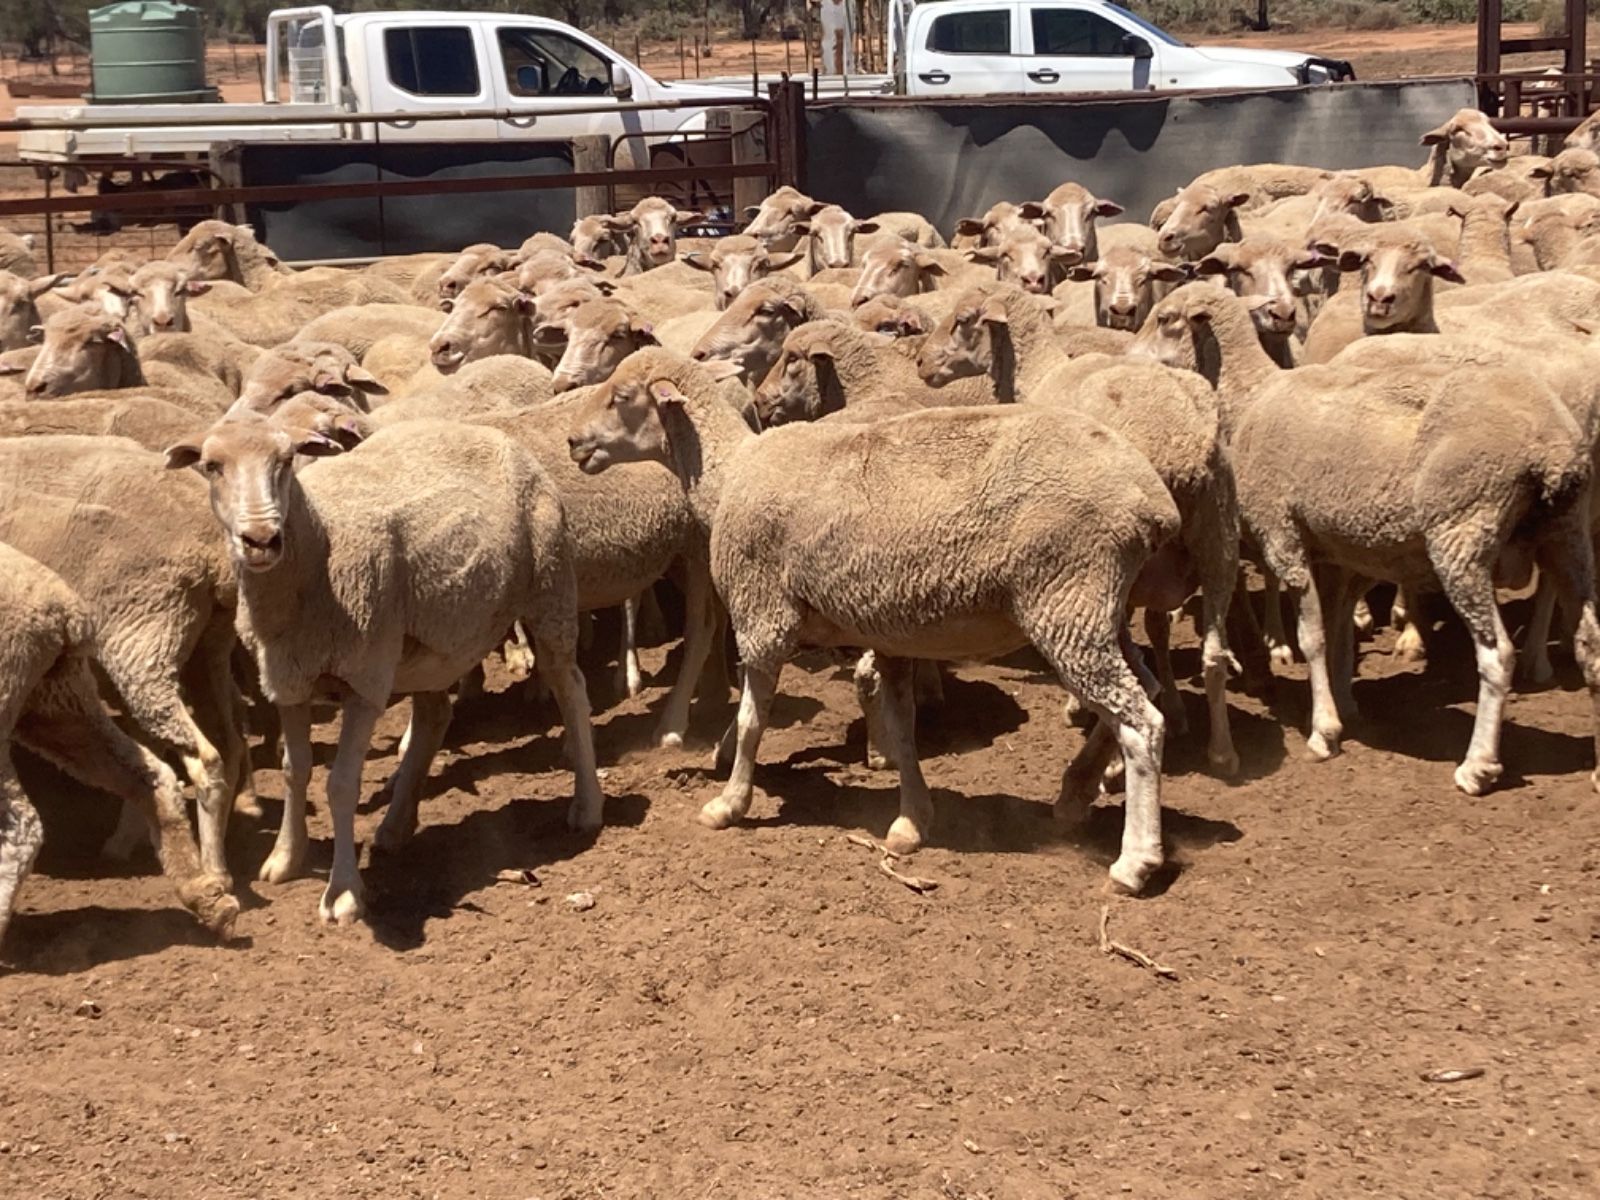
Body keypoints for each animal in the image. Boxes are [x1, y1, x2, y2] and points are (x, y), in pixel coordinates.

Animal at [0, 436, 251, 885]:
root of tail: (212, 558)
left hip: (143, 646)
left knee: (203, 760)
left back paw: (207, 870)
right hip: (207, 649)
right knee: (223, 742)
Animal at [165, 411, 604, 923]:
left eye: (287, 460)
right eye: (212, 466)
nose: (261, 539)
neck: (317, 547)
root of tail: (494, 435)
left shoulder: (364, 679)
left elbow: (340, 784)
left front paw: (343, 892)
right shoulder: (288, 679)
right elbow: (295, 769)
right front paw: (285, 858)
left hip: (549, 585)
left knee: (571, 689)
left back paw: (587, 807)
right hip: (435, 638)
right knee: (435, 717)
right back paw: (395, 827)